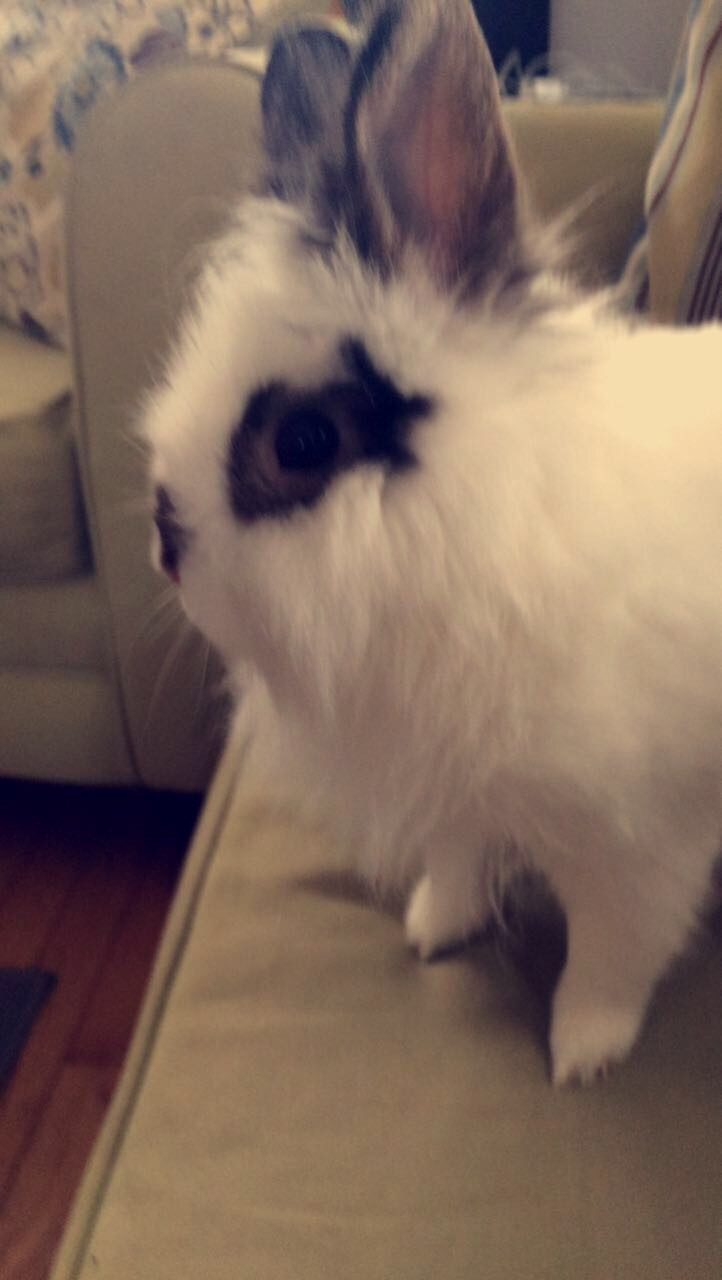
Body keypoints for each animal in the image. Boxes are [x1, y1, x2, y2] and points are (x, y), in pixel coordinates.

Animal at [144, 0, 722, 1085]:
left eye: (302, 442)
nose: (167, 542)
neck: (488, 531)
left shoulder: (641, 849)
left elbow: (613, 951)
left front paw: (581, 1051)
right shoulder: (459, 790)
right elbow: (457, 862)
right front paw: (432, 929)